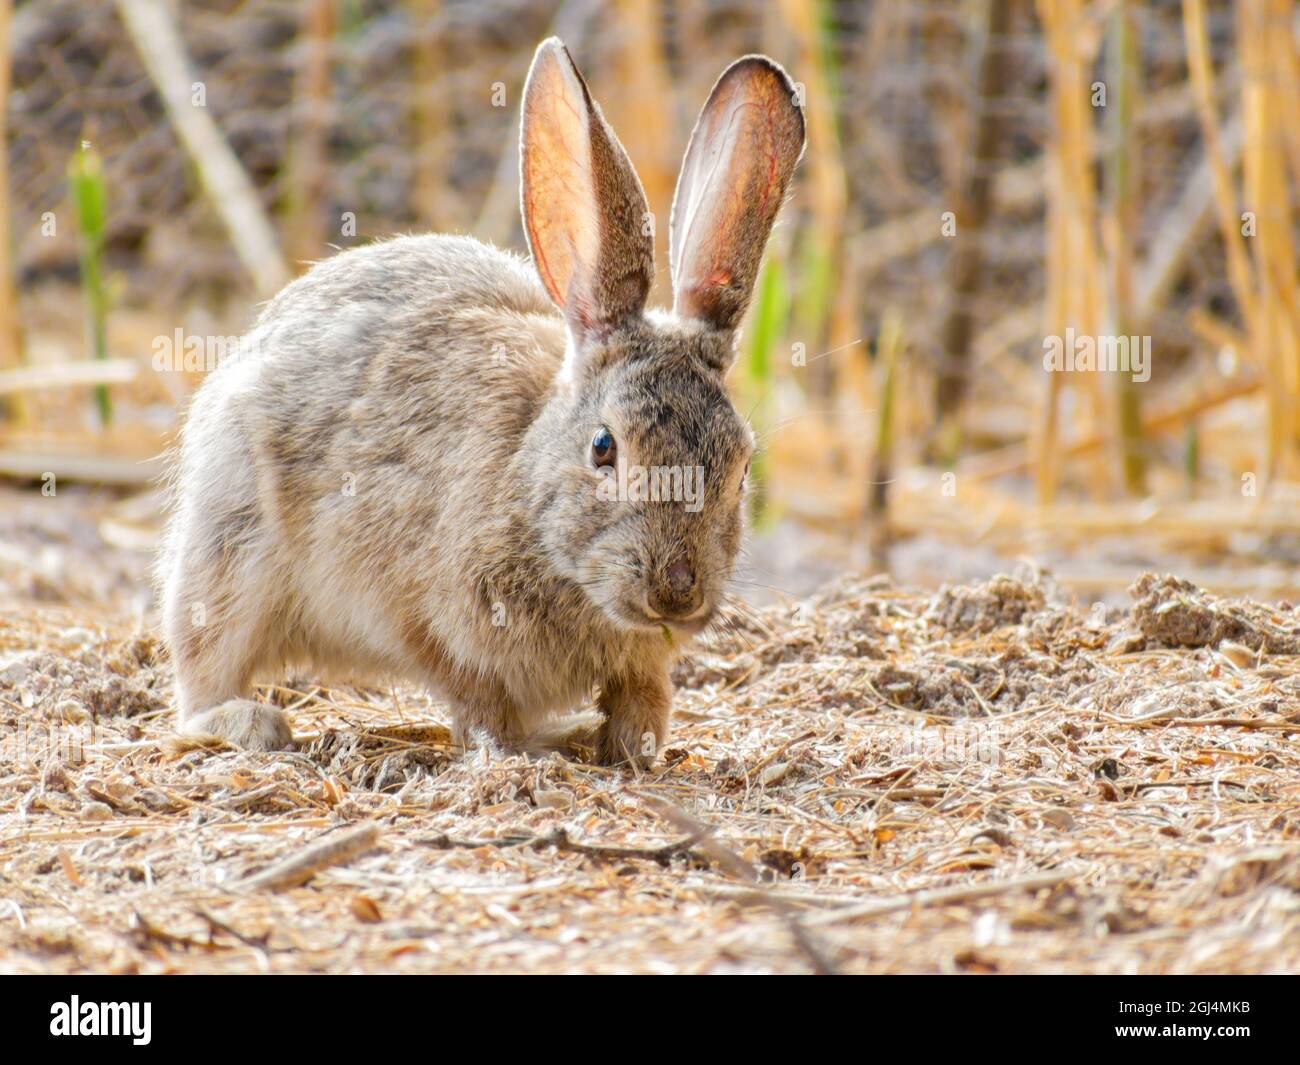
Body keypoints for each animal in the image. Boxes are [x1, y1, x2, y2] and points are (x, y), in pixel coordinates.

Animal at [156, 37, 805, 766]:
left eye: (742, 467)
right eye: (603, 448)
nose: (675, 590)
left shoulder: (642, 659)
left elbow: (643, 700)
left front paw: (630, 748)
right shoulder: (429, 620)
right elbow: (477, 701)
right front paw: (514, 752)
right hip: (230, 549)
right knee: (203, 669)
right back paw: (246, 723)